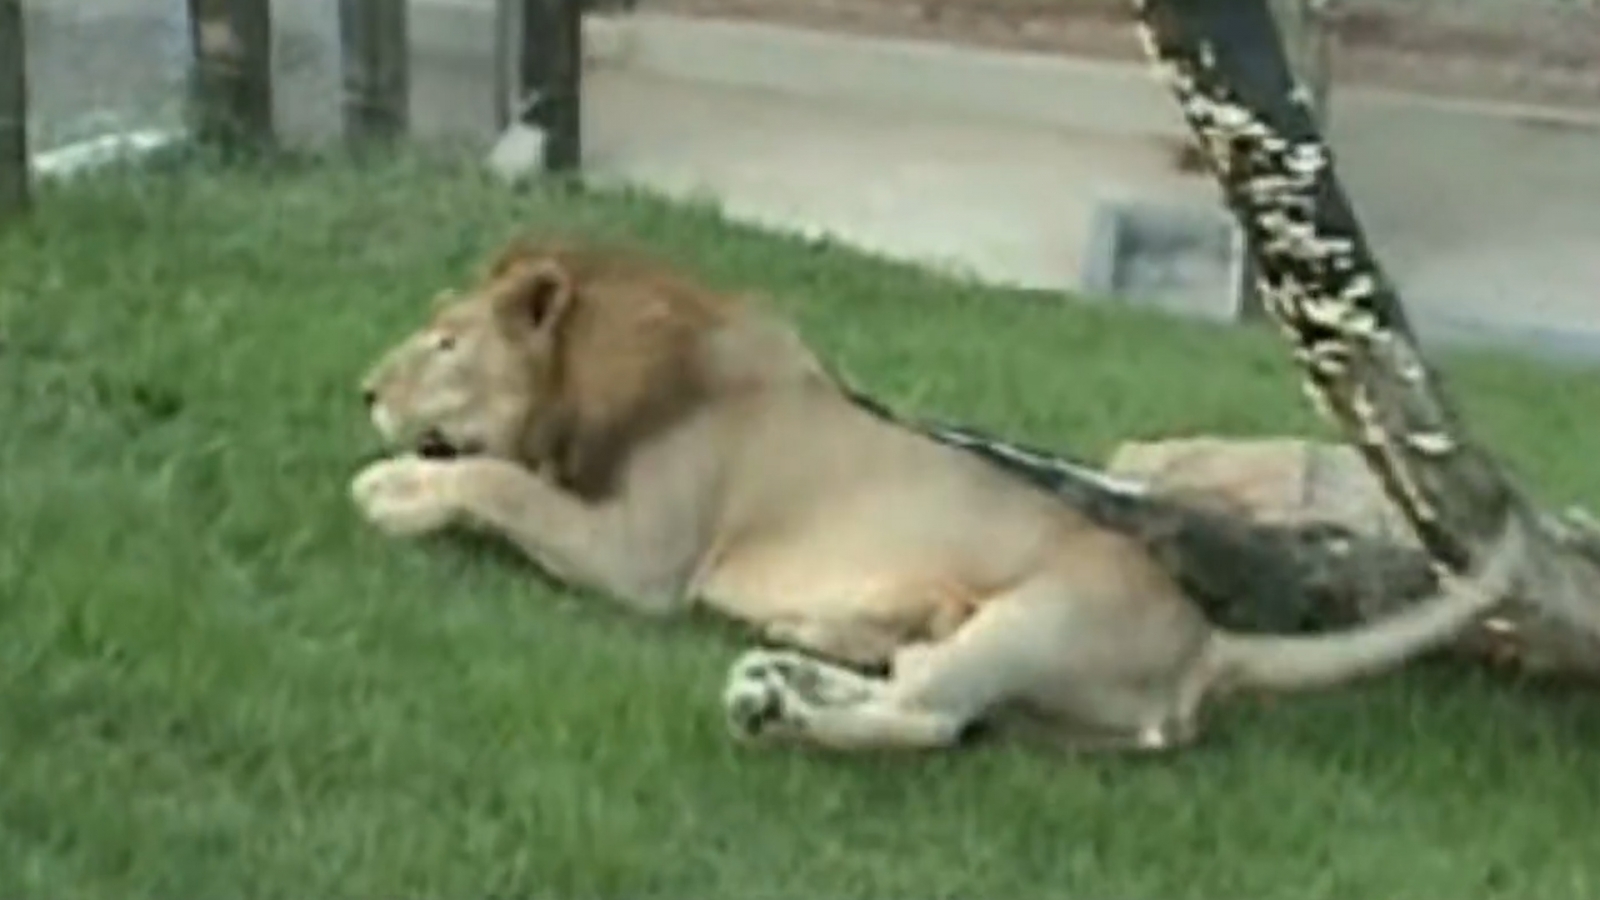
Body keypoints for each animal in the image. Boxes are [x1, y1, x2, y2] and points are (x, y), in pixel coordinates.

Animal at [350, 236, 1525, 755]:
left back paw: (776, 708)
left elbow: (498, 481)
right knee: (920, 682)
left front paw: (396, 485)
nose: (364, 388)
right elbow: (501, 475)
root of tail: (1207, 641)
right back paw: (786, 666)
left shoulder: (647, 555)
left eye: (445, 342)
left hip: (1039, 620)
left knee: (929, 716)